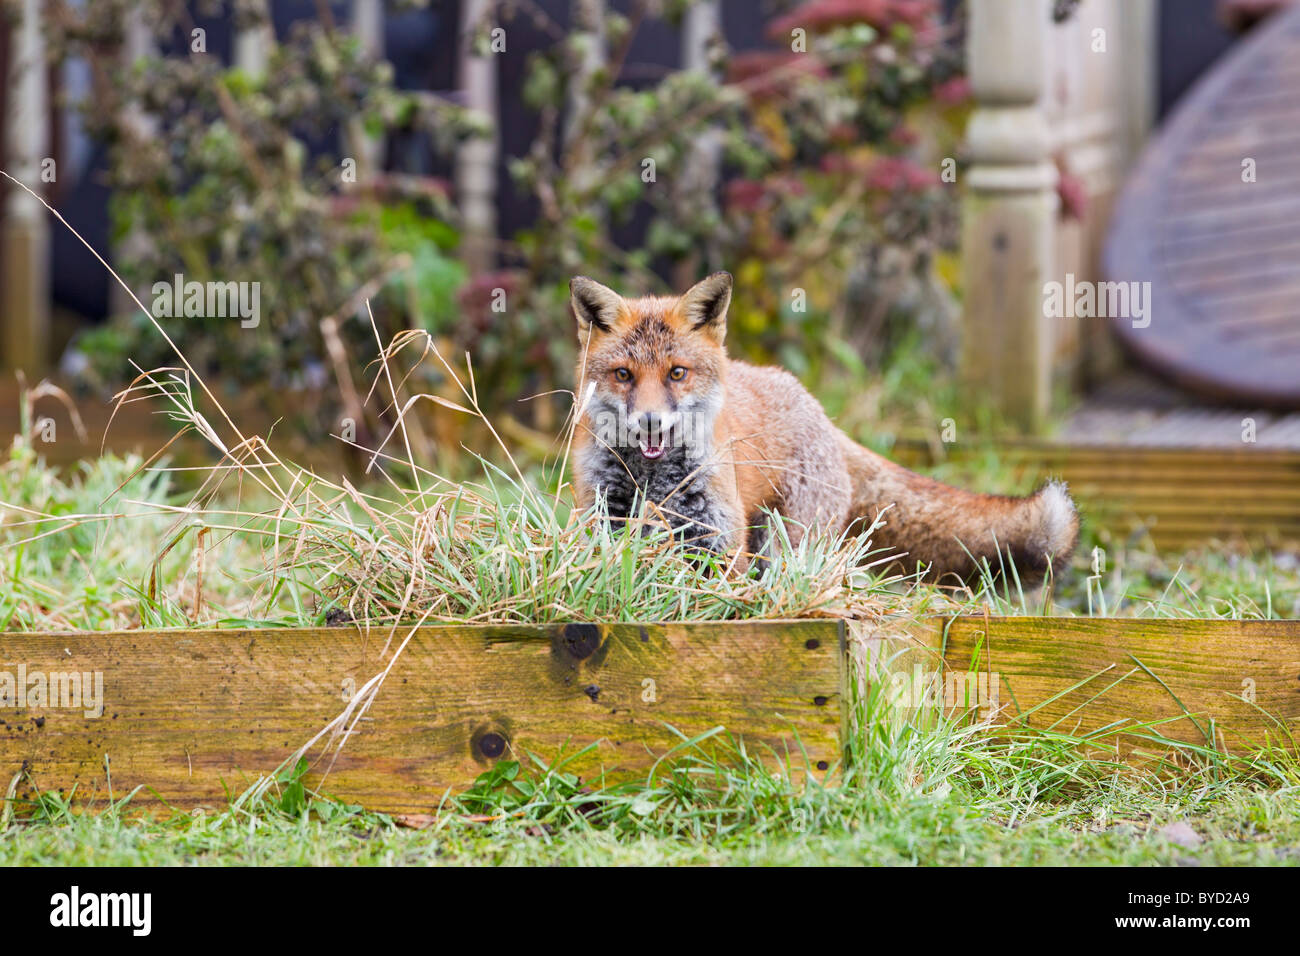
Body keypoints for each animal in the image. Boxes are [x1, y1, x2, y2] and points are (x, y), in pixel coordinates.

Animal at [569, 271, 1079, 583]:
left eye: (677, 373)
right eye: (623, 375)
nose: (650, 420)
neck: (651, 482)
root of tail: (820, 412)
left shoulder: (716, 537)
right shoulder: (602, 519)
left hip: (790, 538)